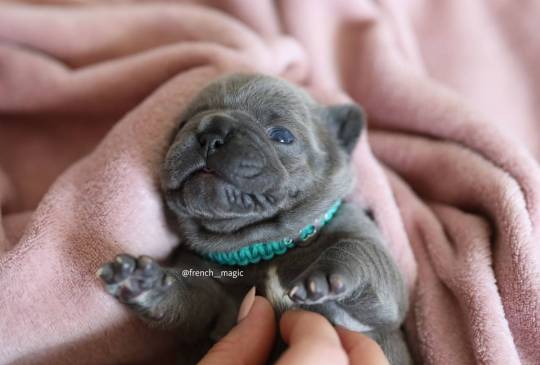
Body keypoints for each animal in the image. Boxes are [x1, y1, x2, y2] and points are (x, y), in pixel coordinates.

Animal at [97, 74, 412, 364]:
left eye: (282, 135)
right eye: (181, 124)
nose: (211, 131)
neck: (264, 247)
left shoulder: (380, 289)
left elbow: (359, 253)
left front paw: (325, 273)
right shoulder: (212, 298)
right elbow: (185, 296)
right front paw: (145, 282)